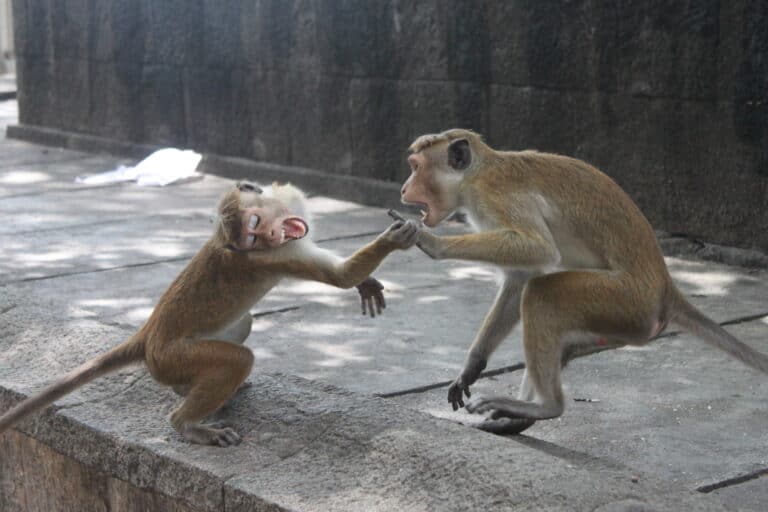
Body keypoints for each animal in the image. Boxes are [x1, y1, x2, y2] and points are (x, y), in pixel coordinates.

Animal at [0, 181, 419, 446]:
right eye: (251, 236)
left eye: (255, 224)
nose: (269, 236)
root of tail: (149, 334)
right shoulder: (281, 256)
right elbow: (339, 274)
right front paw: (393, 239)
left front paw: (368, 282)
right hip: (172, 357)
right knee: (236, 360)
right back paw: (188, 424)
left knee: (242, 323)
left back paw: (186, 391)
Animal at [398, 128, 768, 435]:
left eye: (415, 167)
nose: (403, 188)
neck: (476, 173)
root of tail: (664, 287)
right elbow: (521, 275)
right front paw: (472, 366)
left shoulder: (494, 194)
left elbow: (538, 249)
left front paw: (433, 242)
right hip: (624, 318)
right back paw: (525, 409)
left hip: (623, 299)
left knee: (543, 294)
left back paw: (545, 406)